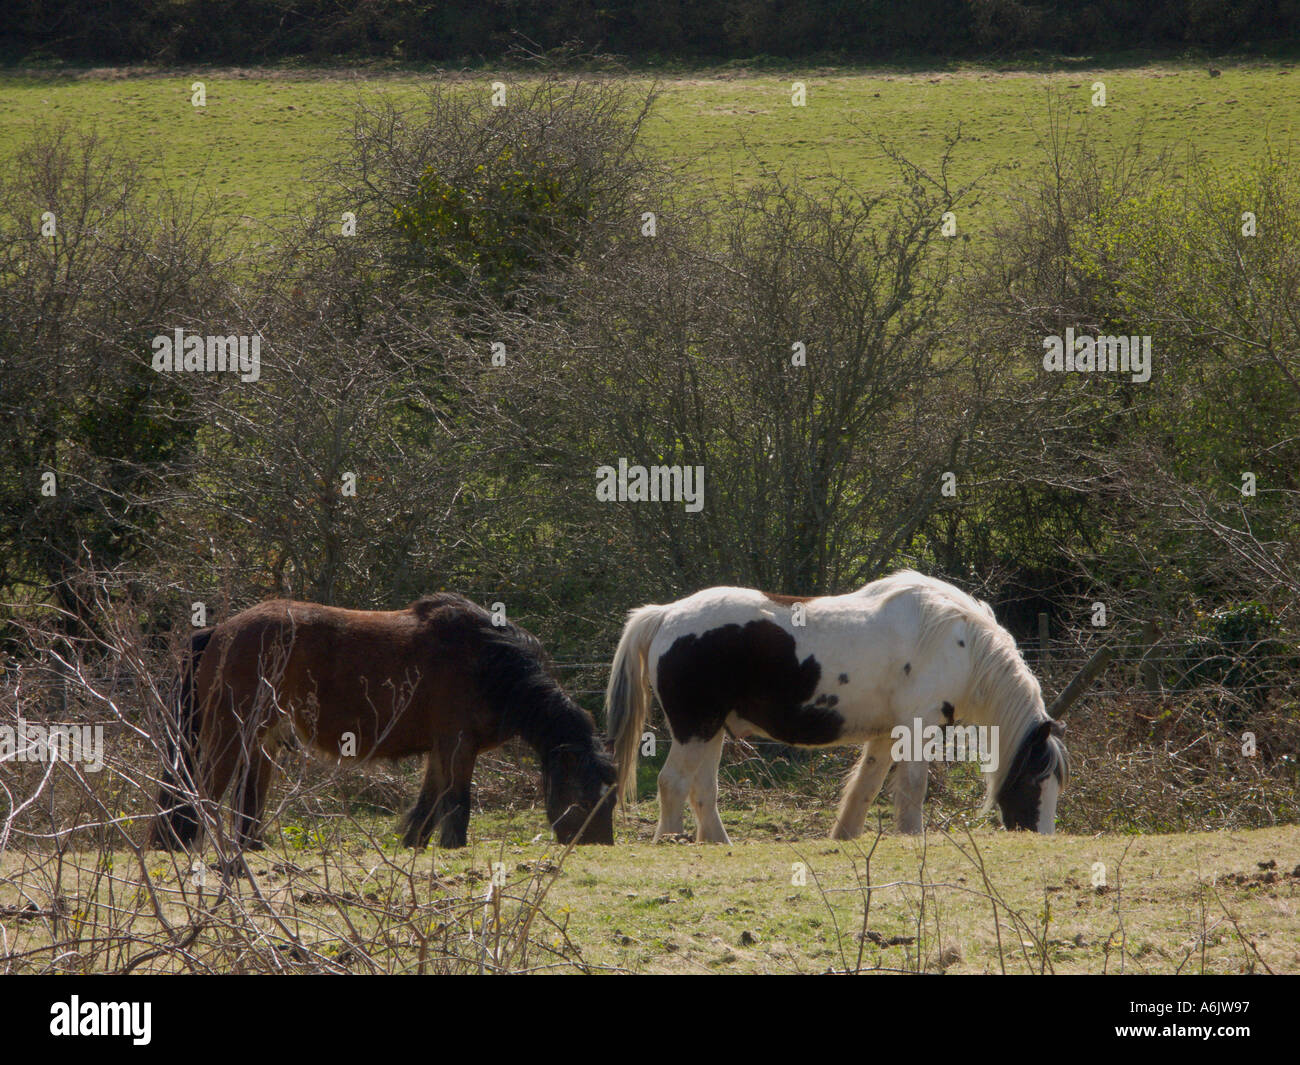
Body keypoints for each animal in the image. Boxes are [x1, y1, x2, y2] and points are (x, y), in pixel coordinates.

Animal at [150, 593, 616, 851]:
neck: (490, 662)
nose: (599, 845)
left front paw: (414, 846)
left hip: (263, 739)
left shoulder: (443, 749)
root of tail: (219, 631)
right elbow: (457, 804)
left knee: (248, 796)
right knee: (203, 789)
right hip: (230, 733)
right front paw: (454, 847)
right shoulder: (458, 745)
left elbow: (429, 804)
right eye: (585, 798)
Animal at [606, 570, 1068, 843]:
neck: (960, 643)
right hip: (695, 728)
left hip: (712, 730)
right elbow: (912, 789)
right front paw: (912, 836)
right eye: (1035, 781)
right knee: (672, 783)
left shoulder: (888, 734)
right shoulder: (918, 727)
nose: (1042, 838)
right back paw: (670, 841)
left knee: (702, 790)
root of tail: (665, 615)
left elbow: (865, 788)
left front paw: (845, 835)